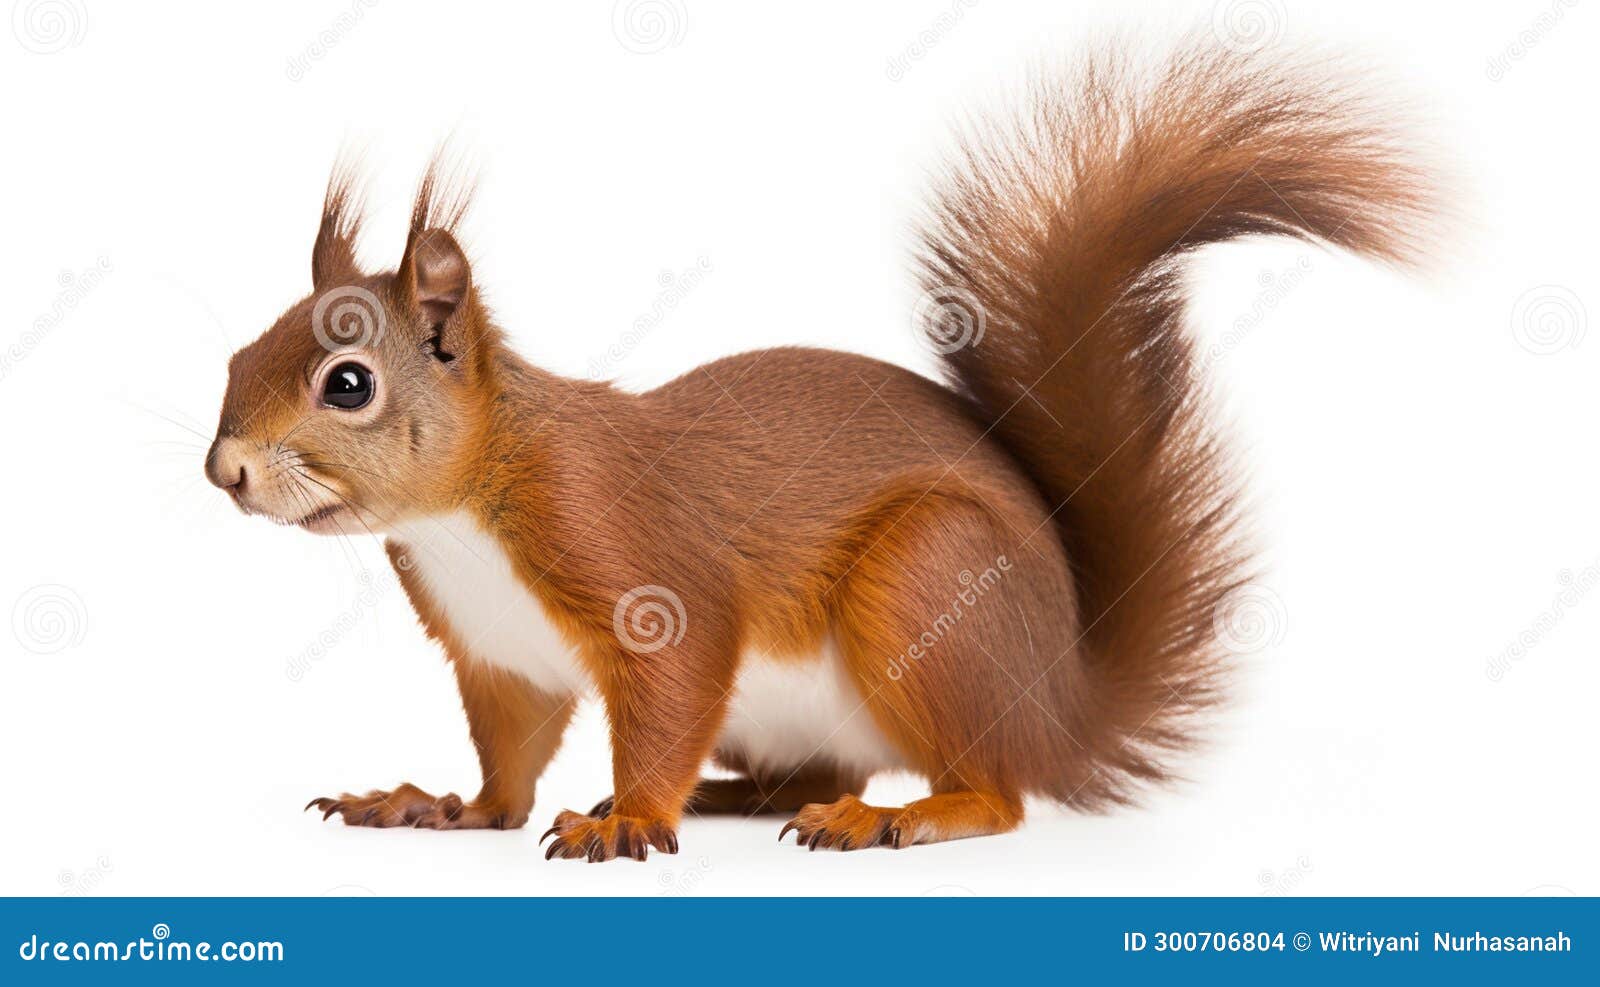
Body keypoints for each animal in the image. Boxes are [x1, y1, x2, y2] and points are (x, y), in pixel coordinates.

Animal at [205, 38, 1435, 861]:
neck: (462, 516)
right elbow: (508, 765)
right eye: (236, 355)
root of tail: (1060, 706)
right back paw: (737, 798)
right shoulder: (502, 658)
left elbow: (677, 676)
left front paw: (631, 818)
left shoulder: (632, 558)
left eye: (348, 383)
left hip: (931, 585)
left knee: (998, 792)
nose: (225, 471)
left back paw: (897, 815)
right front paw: (440, 808)